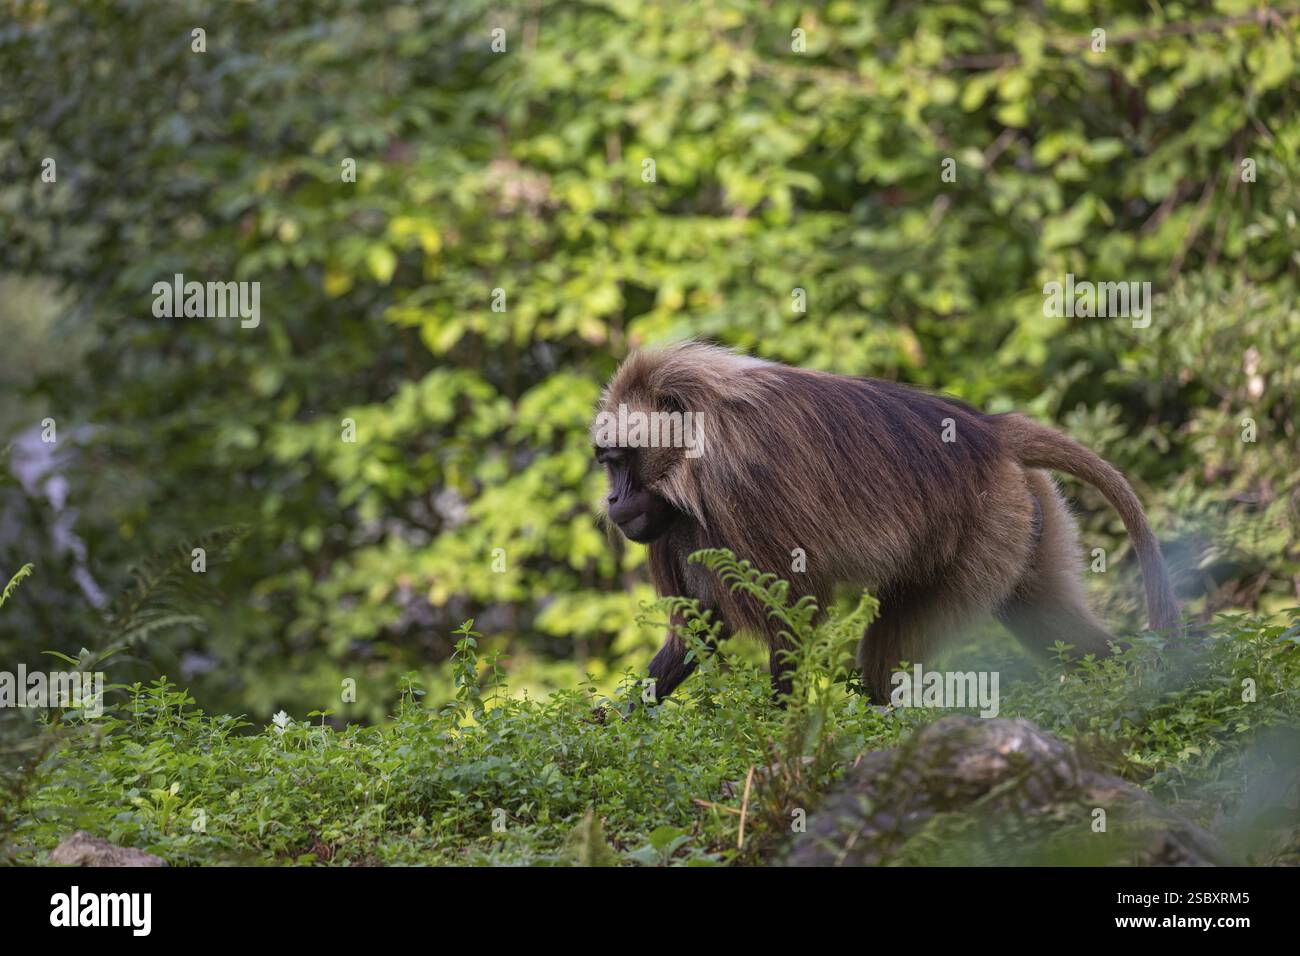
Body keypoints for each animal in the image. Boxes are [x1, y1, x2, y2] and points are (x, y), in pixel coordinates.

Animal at [591, 340, 1180, 704]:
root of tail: (992, 431)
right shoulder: (674, 520)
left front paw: (779, 741)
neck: (692, 449)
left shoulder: (740, 485)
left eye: (619, 459)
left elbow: (794, 616)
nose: (612, 498)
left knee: (886, 660)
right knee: (1048, 619)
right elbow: (703, 626)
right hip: (1025, 518)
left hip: (985, 529)